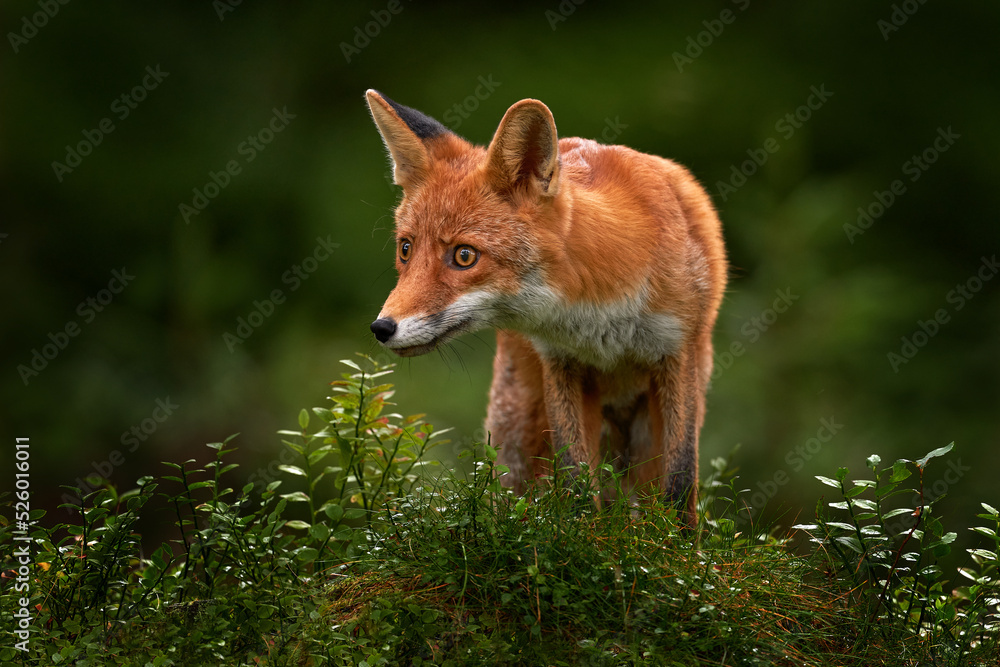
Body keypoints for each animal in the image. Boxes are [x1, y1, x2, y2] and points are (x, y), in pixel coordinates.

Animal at [365, 89, 727, 521]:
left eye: (464, 256)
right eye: (406, 249)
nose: (381, 328)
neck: (602, 314)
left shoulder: (677, 356)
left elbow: (680, 478)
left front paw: (677, 538)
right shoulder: (561, 363)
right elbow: (575, 479)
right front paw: (585, 533)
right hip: (519, 432)